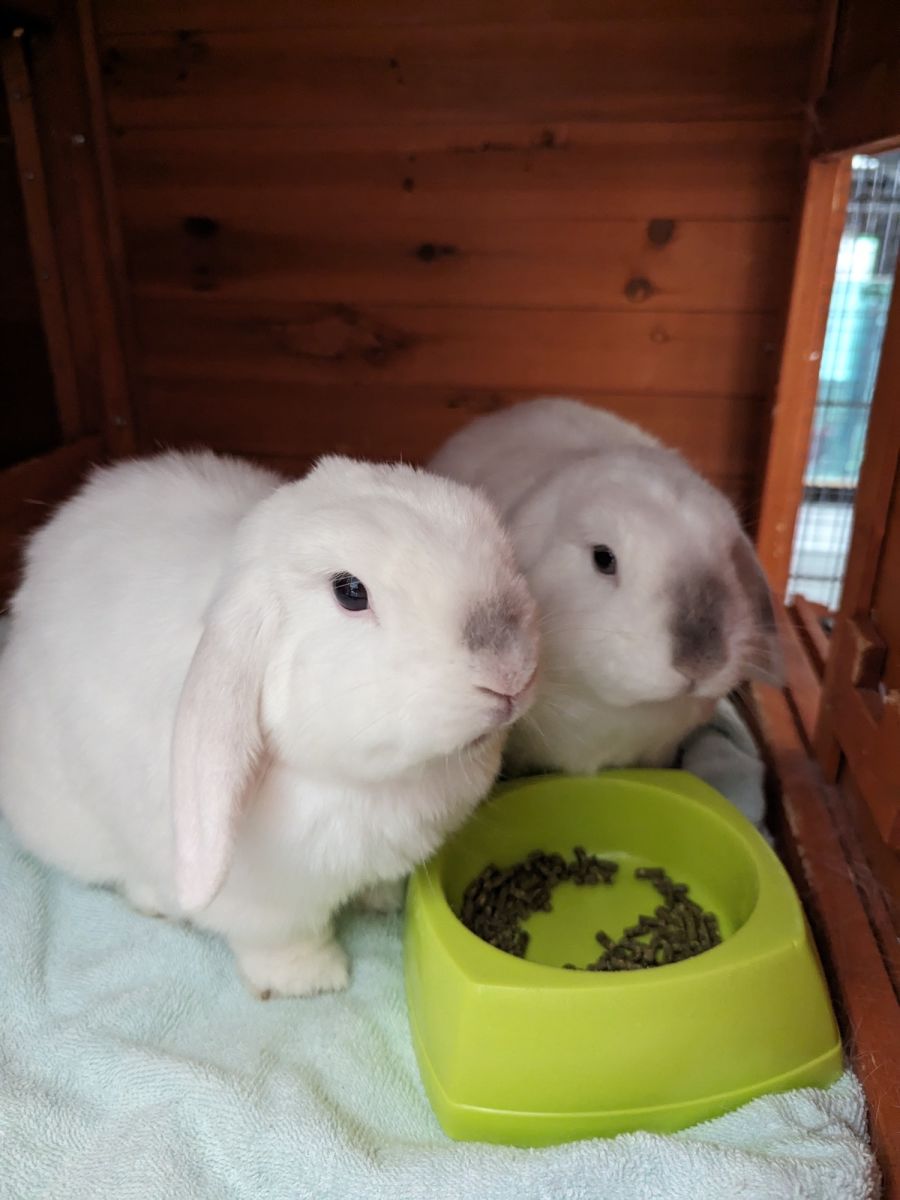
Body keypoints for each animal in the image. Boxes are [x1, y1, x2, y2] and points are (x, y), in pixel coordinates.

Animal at [0, 450, 539, 998]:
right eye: (350, 592)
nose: (512, 671)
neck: (375, 784)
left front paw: (382, 902)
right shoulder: (265, 905)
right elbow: (283, 939)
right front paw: (310, 980)